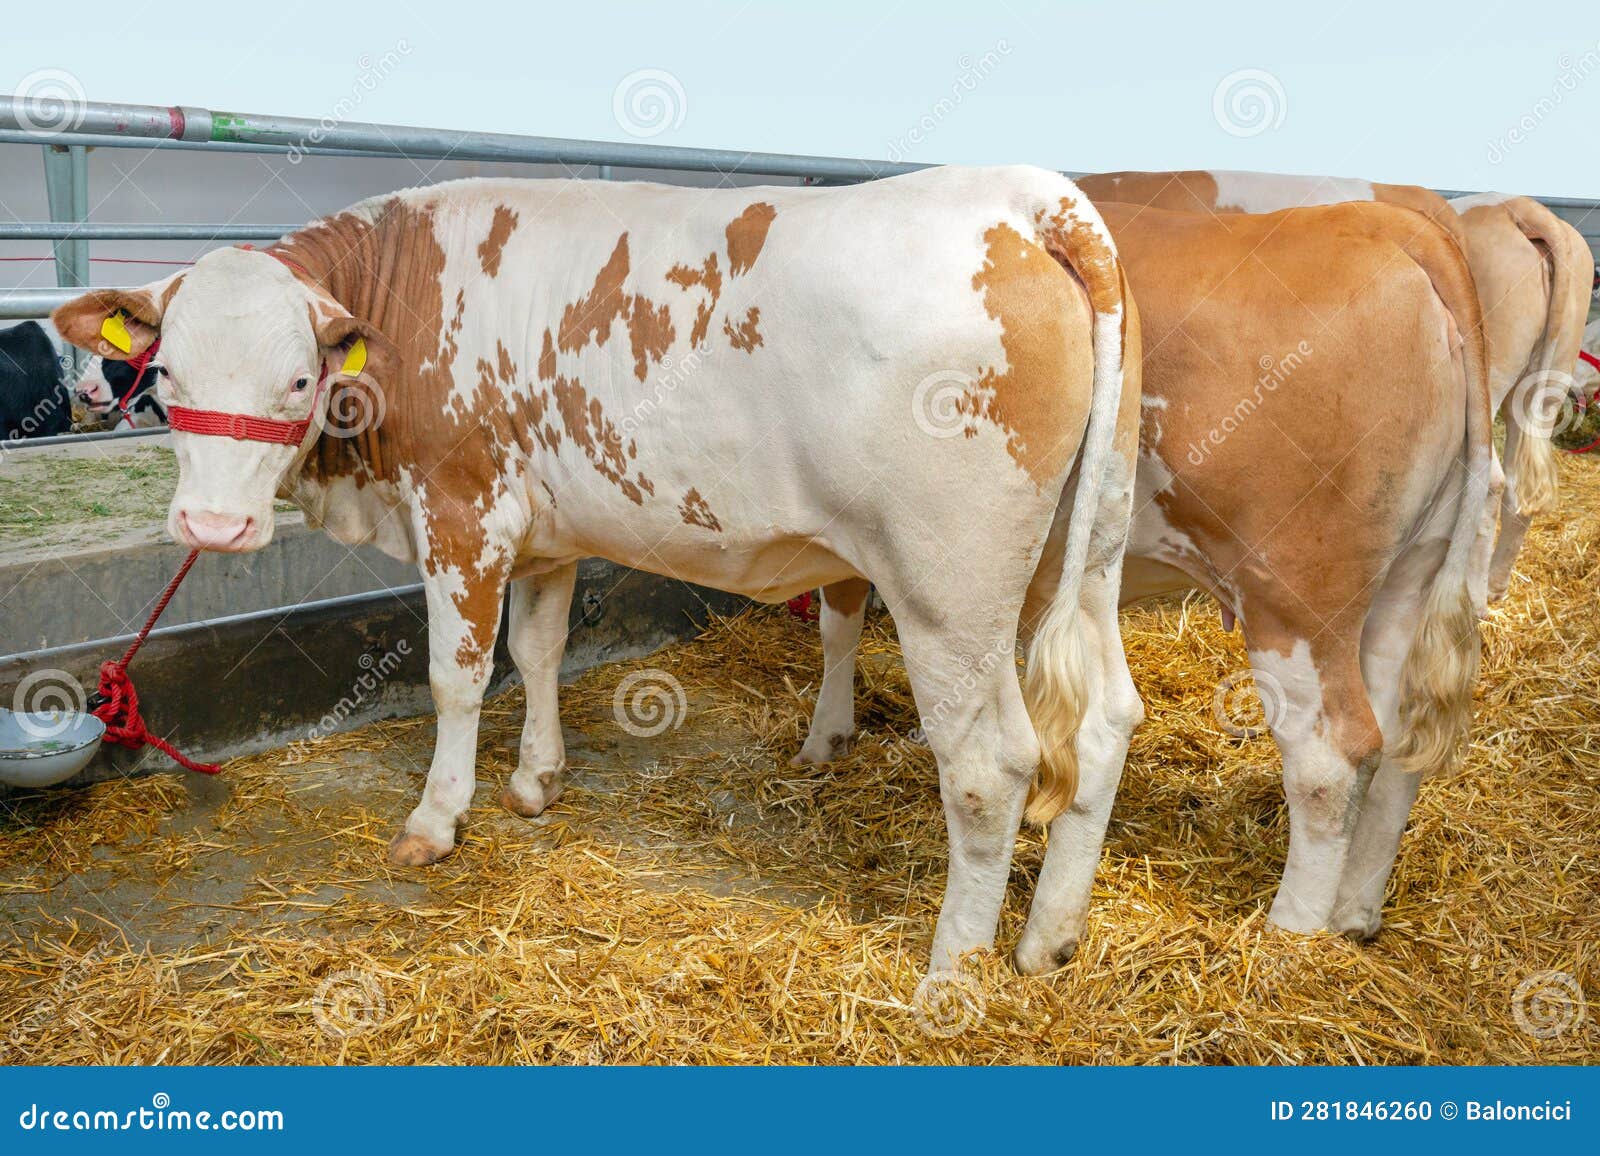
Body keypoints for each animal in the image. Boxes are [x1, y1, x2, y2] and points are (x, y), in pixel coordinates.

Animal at [53, 165, 1139, 973]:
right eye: (165, 376)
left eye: (298, 378)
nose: (212, 523)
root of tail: (1023, 195)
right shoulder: (546, 532)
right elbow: (535, 653)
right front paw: (536, 779)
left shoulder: (463, 513)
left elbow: (457, 677)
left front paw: (437, 818)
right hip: (1084, 556)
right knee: (1103, 722)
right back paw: (1049, 938)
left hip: (947, 588)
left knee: (989, 770)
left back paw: (951, 975)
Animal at [798, 200, 1494, 972]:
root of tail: (1387, 219)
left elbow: (838, 616)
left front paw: (823, 738)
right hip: (1412, 571)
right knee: (1402, 743)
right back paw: (1353, 914)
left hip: (1296, 592)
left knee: (1332, 759)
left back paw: (1288, 936)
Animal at [1446, 194, 1594, 598]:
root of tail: (1521, 208)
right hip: (1544, 386)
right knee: (1518, 488)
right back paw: (1493, 588)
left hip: (1486, 380)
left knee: (1489, 478)